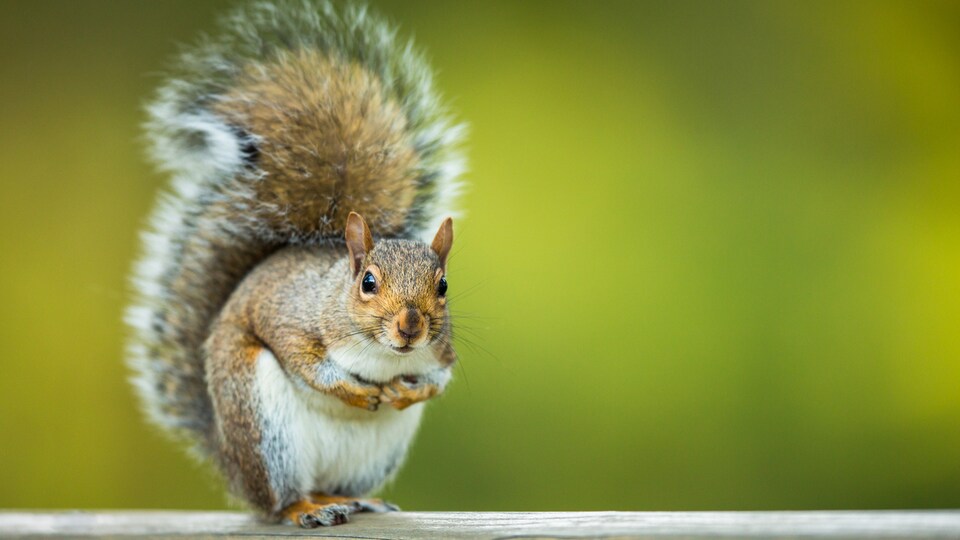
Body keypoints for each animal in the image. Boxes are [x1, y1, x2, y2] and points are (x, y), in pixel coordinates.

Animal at [125, 0, 465, 528]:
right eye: (368, 282)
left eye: (443, 286)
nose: (411, 327)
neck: (384, 354)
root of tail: (229, 461)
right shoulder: (290, 317)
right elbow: (306, 362)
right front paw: (355, 392)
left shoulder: (441, 353)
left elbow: (439, 380)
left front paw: (406, 392)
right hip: (264, 427)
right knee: (279, 500)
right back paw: (305, 508)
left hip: (370, 456)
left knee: (332, 486)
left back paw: (351, 500)